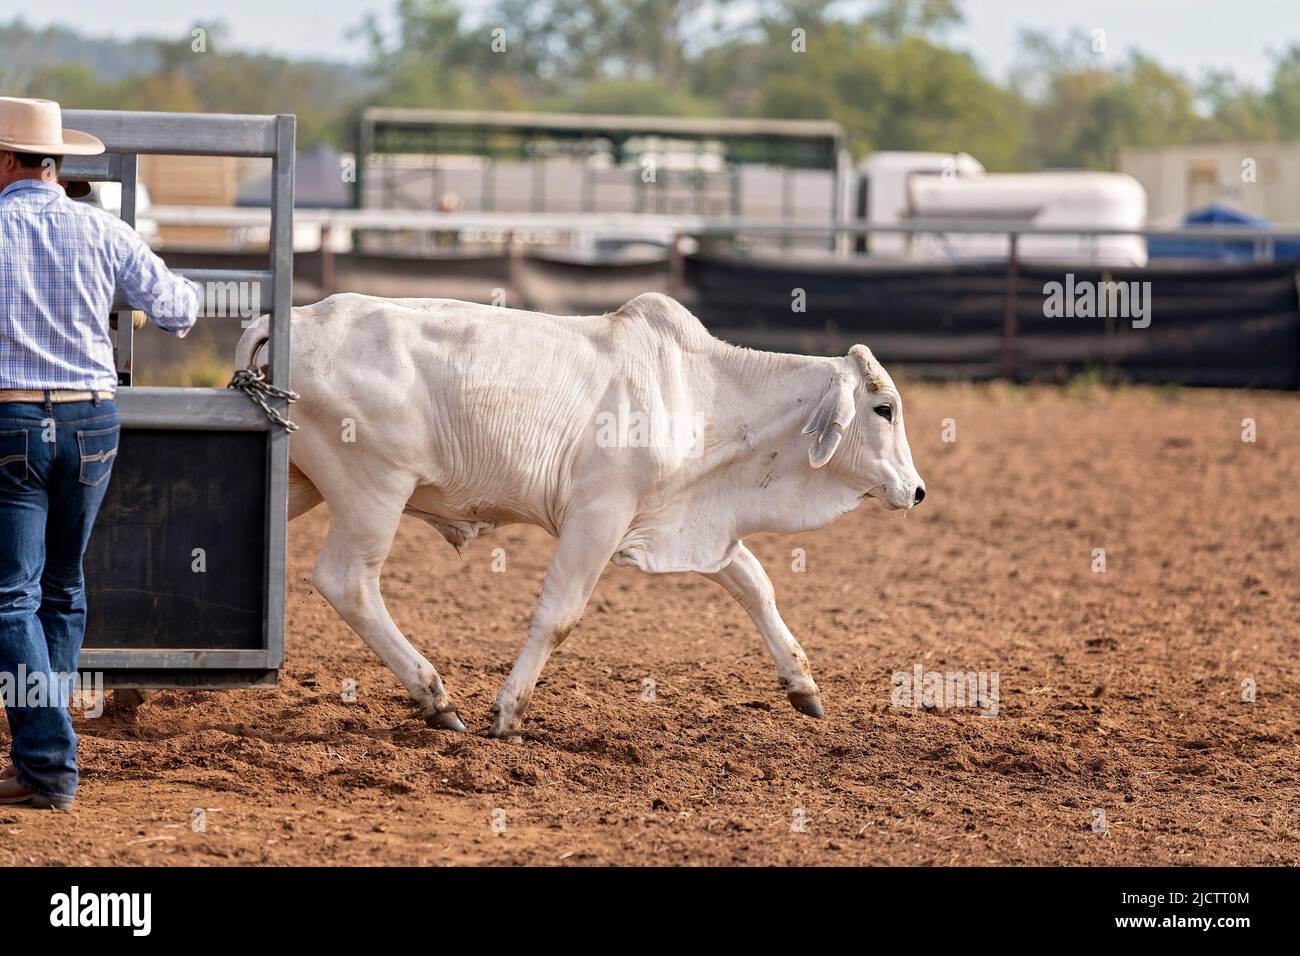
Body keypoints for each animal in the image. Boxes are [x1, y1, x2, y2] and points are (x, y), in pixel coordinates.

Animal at [235, 292, 925, 738]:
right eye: (884, 408)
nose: (917, 491)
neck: (700, 395)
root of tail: (294, 319)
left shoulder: (687, 523)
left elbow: (755, 584)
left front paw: (803, 685)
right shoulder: (598, 514)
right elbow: (559, 615)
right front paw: (507, 714)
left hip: (302, 481)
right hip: (373, 490)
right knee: (348, 580)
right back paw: (436, 698)